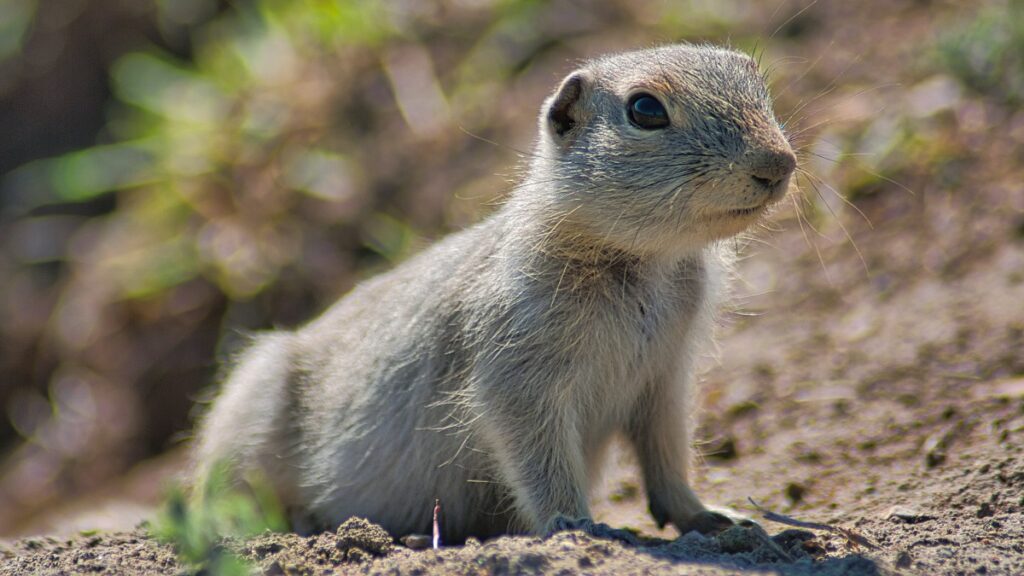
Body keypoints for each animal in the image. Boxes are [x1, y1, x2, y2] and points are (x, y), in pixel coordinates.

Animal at [194, 43, 796, 543]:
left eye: (756, 81)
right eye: (645, 109)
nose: (779, 163)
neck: (648, 263)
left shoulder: (666, 376)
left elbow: (668, 453)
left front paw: (715, 516)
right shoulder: (517, 368)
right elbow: (538, 454)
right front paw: (580, 527)